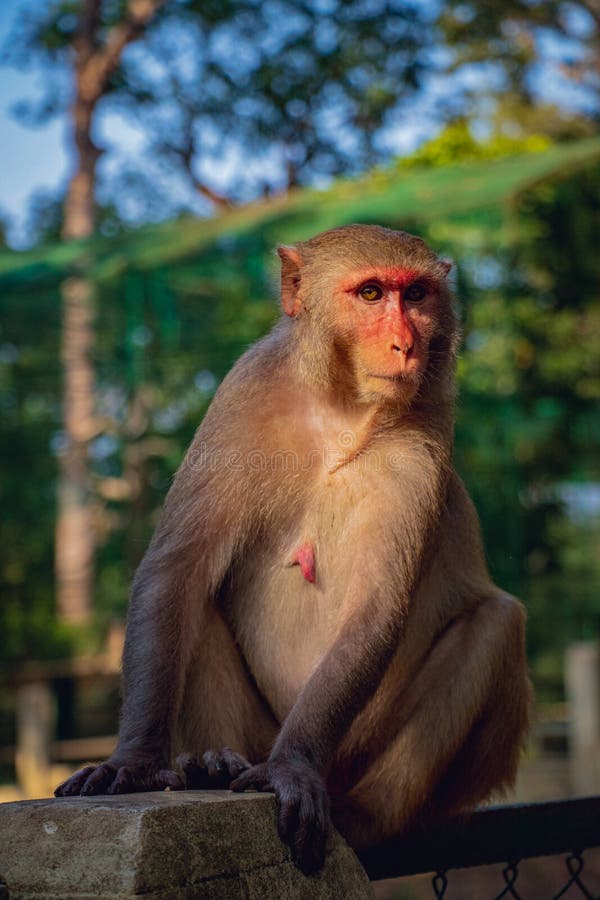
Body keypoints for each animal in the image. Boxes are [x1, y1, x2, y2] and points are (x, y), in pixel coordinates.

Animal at [55, 224, 531, 874]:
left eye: (417, 295)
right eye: (372, 292)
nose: (406, 345)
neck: (340, 410)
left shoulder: (425, 433)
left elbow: (375, 610)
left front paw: (291, 767)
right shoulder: (244, 394)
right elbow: (177, 573)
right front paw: (133, 762)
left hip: (368, 753)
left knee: (497, 621)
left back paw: (360, 816)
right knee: (196, 604)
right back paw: (213, 763)